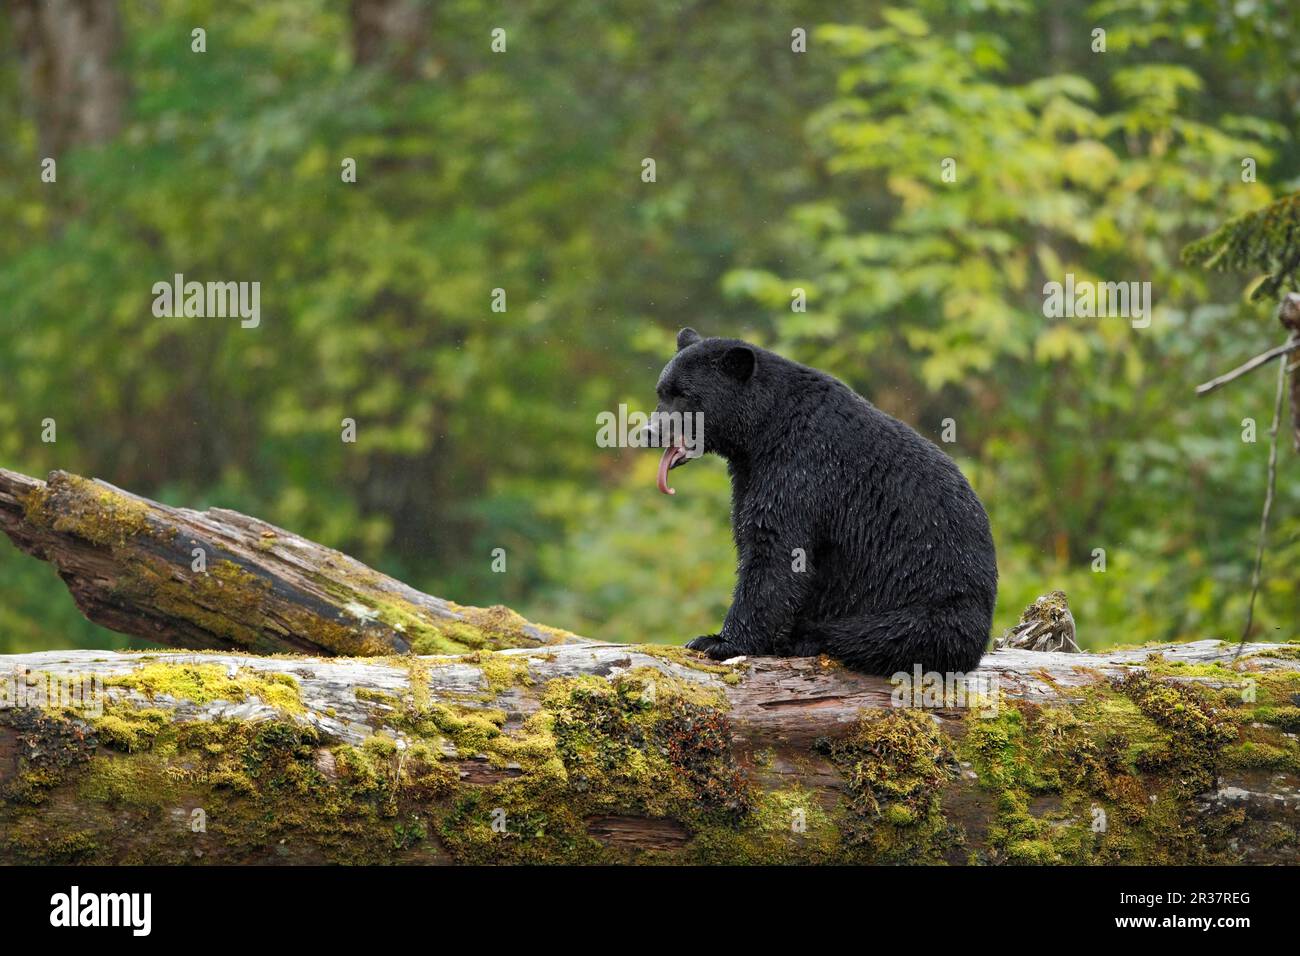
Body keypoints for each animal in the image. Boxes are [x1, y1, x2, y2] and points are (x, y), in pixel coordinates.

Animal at [650, 327, 998, 676]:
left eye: (685, 395)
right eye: (661, 392)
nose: (649, 432)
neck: (765, 428)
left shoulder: (803, 467)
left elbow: (777, 551)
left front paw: (718, 641)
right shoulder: (750, 474)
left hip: (933, 607)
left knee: (877, 634)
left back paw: (797, 638)